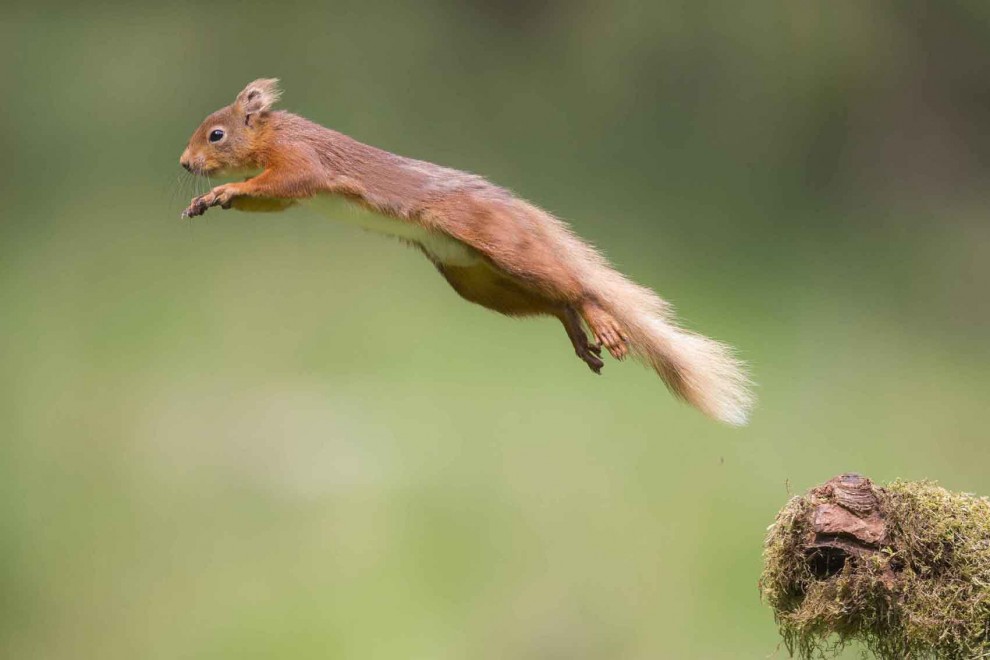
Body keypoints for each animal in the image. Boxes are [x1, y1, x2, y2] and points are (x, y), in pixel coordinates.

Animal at [180, 79, 754, 425]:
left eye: (216, 134)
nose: (185, 164)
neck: (275, 131)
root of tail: (520, 212)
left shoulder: (301, 161)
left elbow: (281, 183)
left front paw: (225, 189)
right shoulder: (288, 189)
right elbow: (271, 200)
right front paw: (209, 199)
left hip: (501, 246)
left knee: (576, 286)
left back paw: (600, 319)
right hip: (480, 281)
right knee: (555, 299)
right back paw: (577, 333)